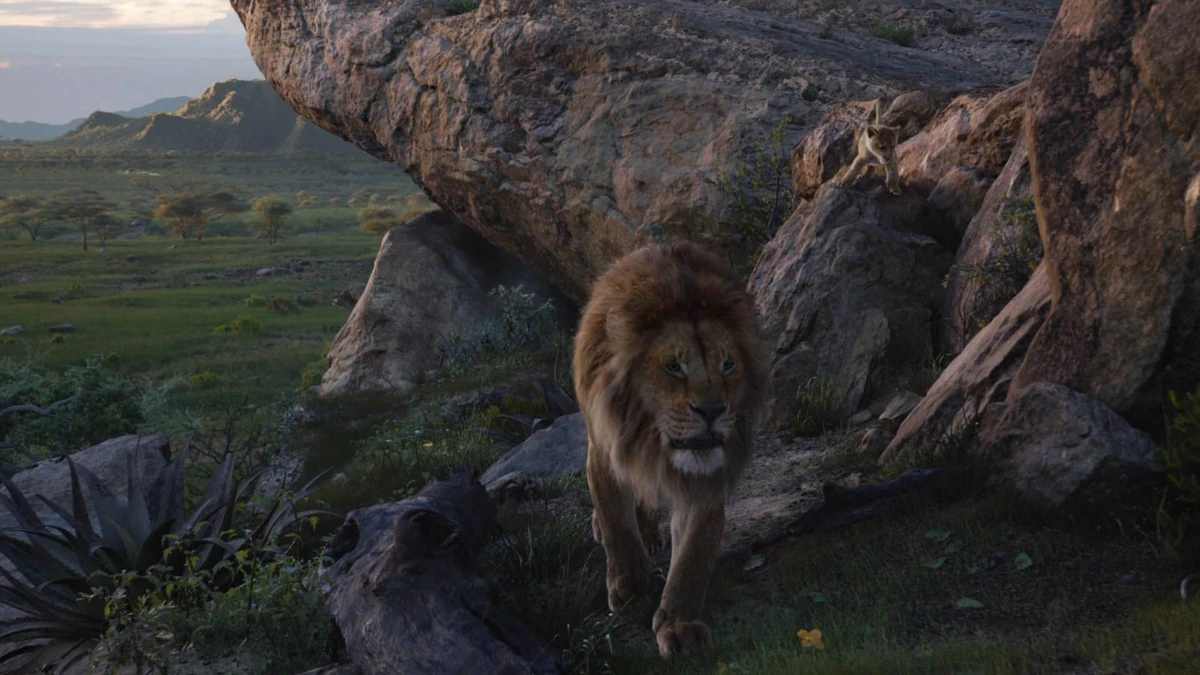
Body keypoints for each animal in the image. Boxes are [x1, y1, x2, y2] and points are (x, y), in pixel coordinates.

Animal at [572, 242, 768, 658]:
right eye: (674, 367)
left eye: (728, 365)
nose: (712, 411)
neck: (652, 437)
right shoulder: (605, 449)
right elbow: (614, 518)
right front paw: (628, 583)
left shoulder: (708, 478)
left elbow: (695, 551)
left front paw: (680, 625)